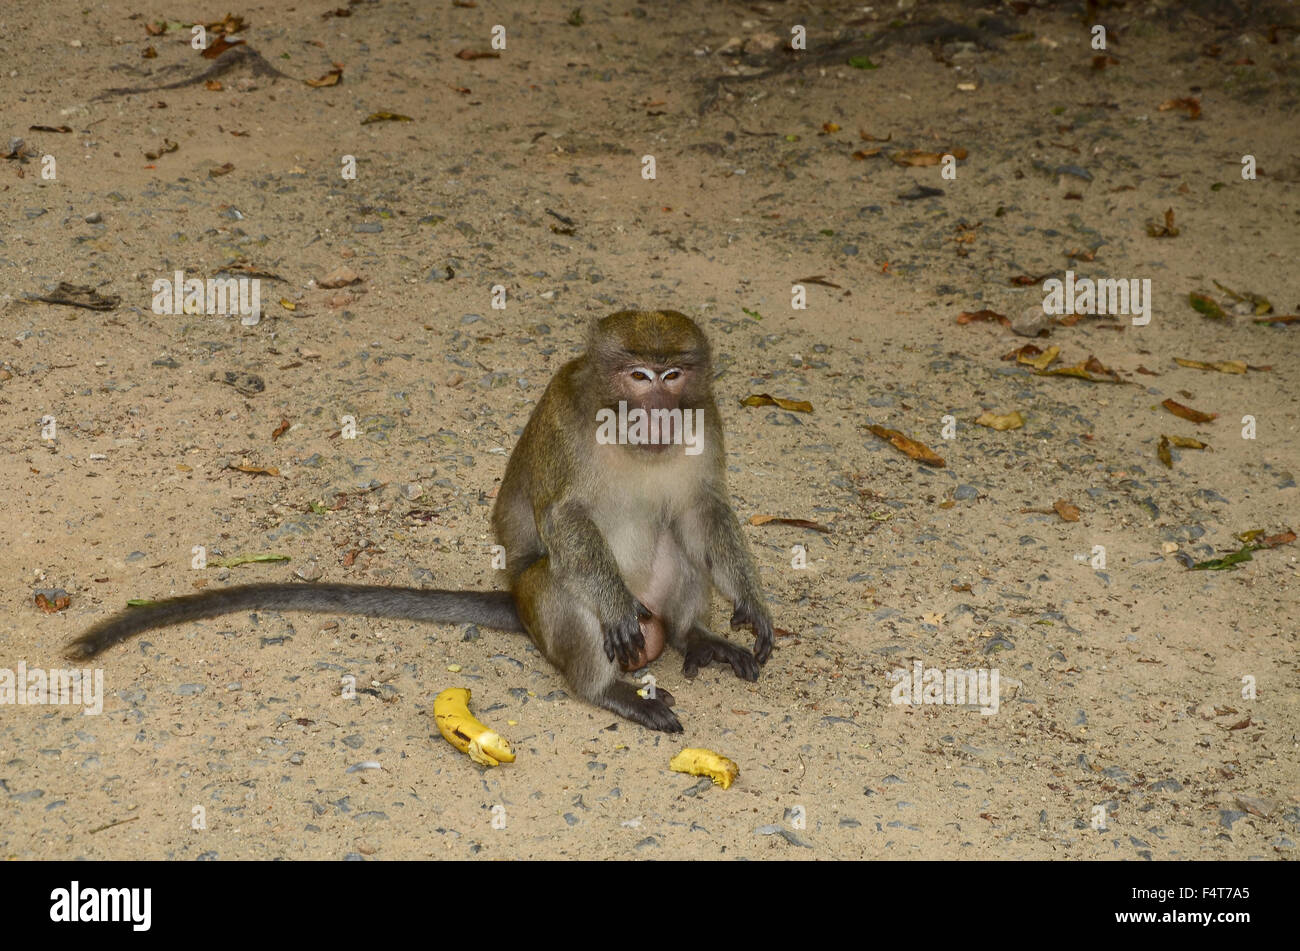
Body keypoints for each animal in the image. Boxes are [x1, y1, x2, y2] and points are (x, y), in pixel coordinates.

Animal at [67, 310, 775, 733]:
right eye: (638, 375)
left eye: (674, 375)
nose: (658, 412)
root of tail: (514, 607)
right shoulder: (568, 421)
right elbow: (565, 517)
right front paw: (617, 616)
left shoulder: (708, 418)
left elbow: (704, 508)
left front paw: (751, 605)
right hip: (539, 606)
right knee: (558, 580)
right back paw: (605, 689)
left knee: (682, 540)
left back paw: (692, 638)